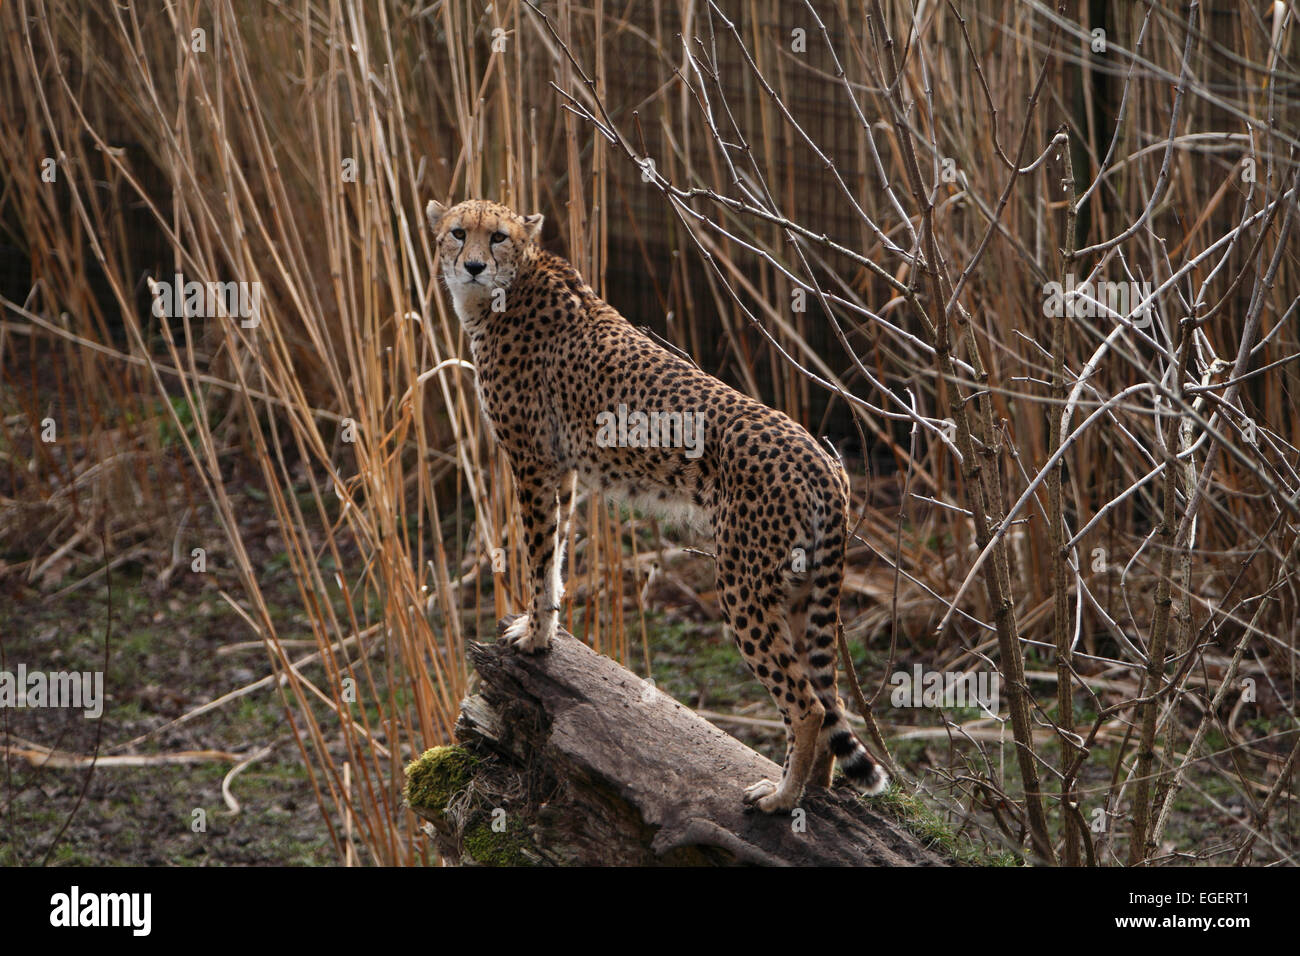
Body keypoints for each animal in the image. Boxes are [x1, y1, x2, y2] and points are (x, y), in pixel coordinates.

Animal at [426, 198, 888, 813]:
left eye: (497, 237)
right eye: (459, 232)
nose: (474, 265)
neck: (507, 288)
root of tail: (823, 460)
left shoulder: (532, 462)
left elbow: (538, 554)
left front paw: (536, 635)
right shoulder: (560, 468)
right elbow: (557, 551)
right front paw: (547, 626)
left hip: (743, 583)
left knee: (806, 704)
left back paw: (782, 797)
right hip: (797, 584)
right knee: (818, 690)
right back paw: (812, 787)